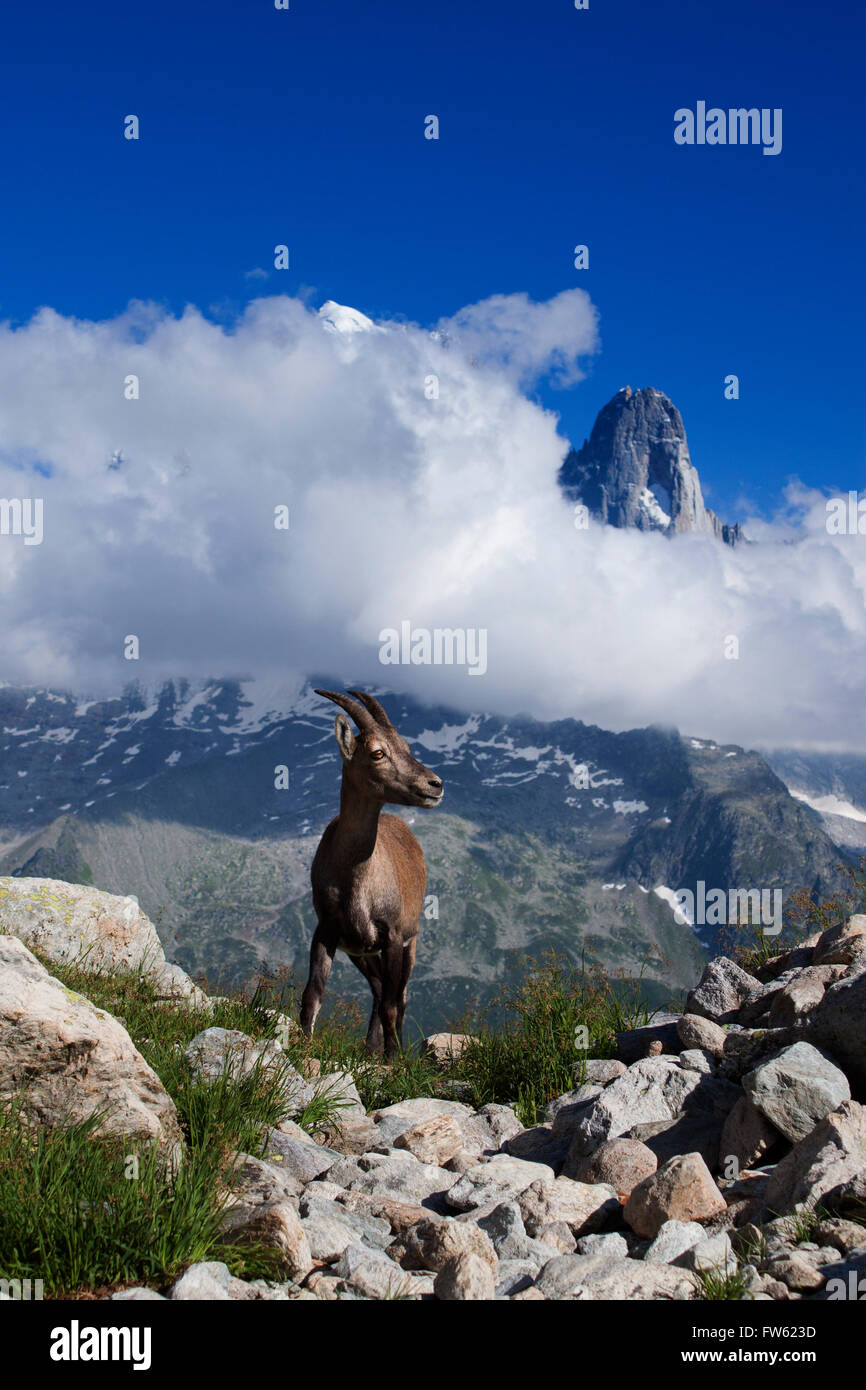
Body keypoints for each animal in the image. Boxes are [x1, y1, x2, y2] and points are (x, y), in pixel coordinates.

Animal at [299, 689, 444, 1058]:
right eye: (378, 752)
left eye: (406, 746)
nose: (435, 784)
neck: (356, 880)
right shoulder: (328, 929)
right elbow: (312, 994)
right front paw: (301, 1048)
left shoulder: (392, 934)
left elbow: (393, 1004)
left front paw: (394, 1060)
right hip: (360, 952)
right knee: (379, 989)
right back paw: (370, 1047)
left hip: (410, 941)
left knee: (398, 997)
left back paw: (393, 1050)